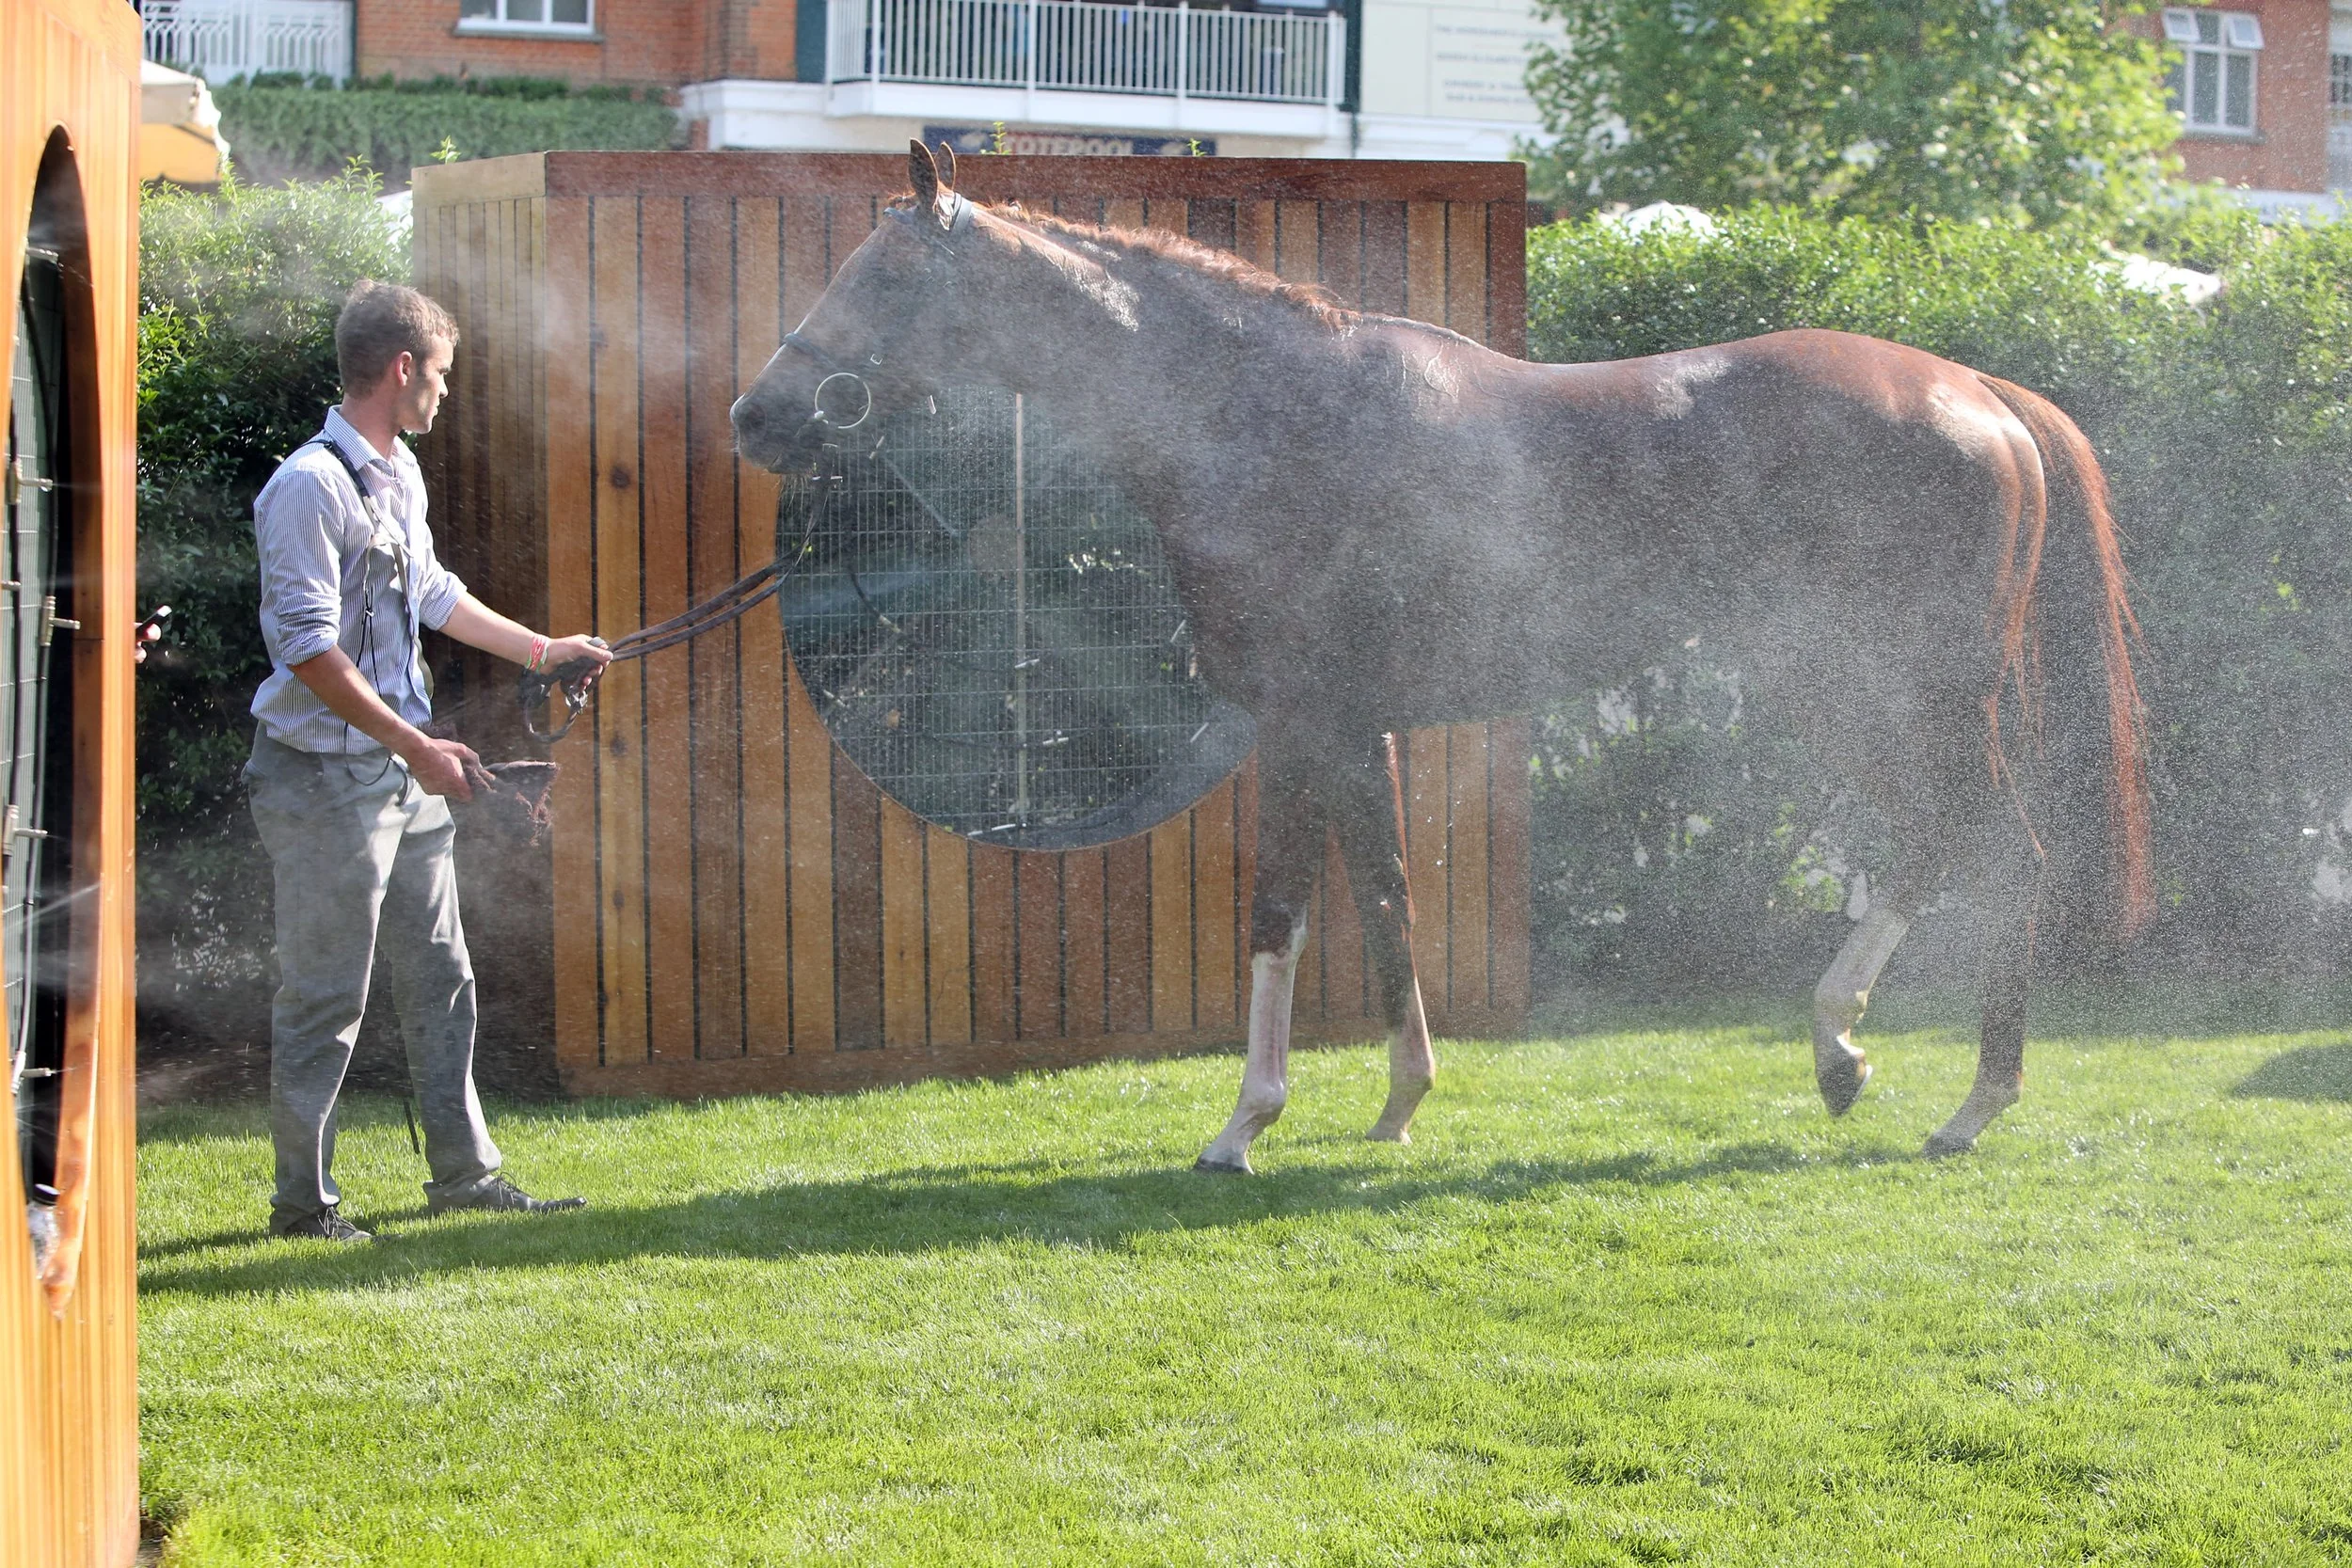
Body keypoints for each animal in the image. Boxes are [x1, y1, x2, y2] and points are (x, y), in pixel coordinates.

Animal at [731, 142, 2152, 1170]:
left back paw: (1930, 1084)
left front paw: (1242, 1124)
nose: (759, 412)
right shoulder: (1360, 728)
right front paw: (1400, 1101)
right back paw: (1871, 1062)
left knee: (1993, 845)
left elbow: (1283, 914)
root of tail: (1979, 393)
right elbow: (1387, 901)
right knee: (1945, 841)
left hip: (1887, 688)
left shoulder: (1300, 722)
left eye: (889, 278)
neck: (1266, 418)